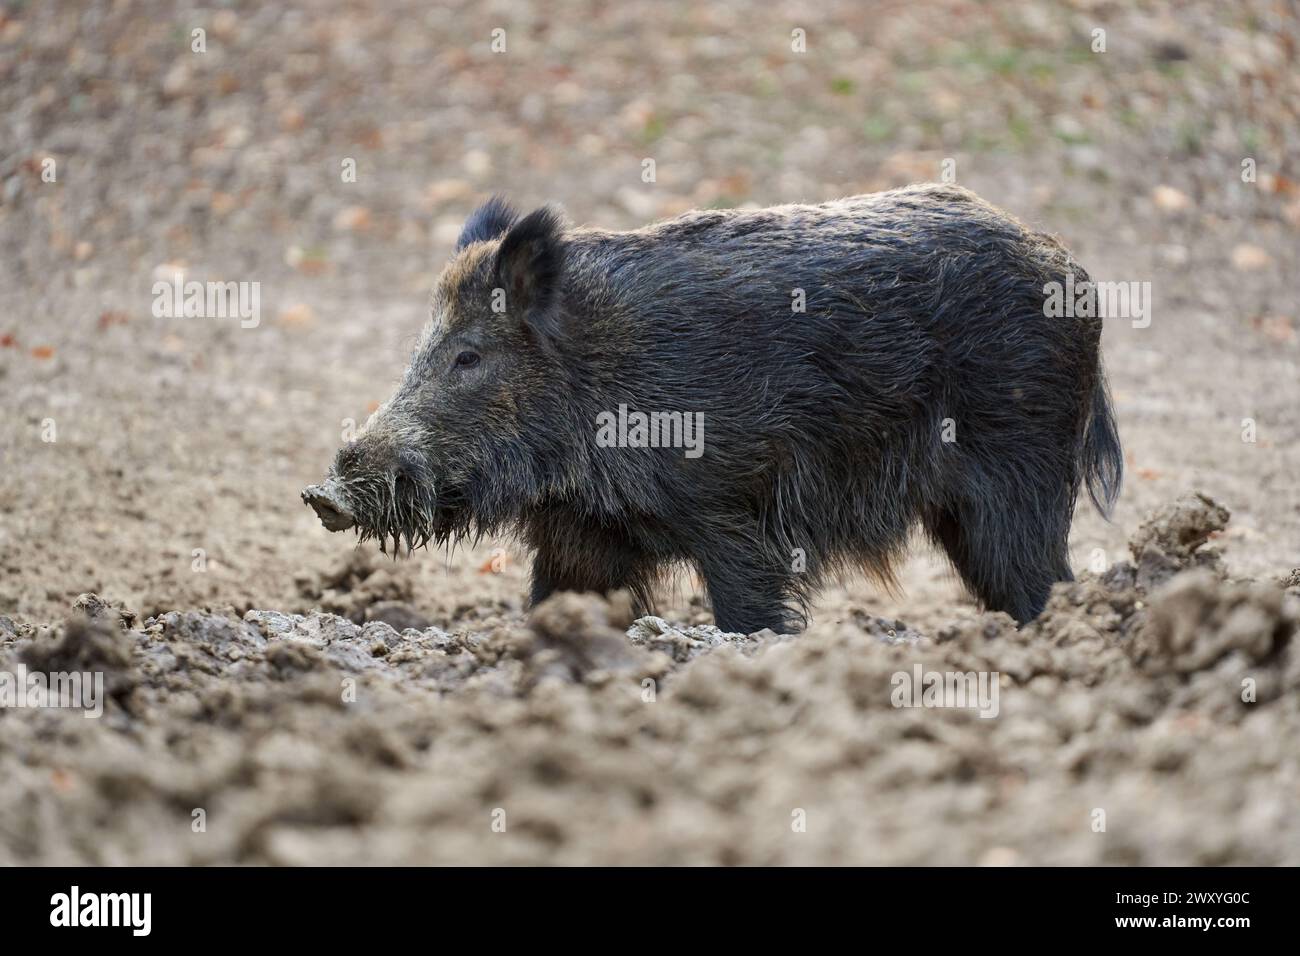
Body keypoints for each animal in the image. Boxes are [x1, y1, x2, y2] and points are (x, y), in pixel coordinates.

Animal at [303, 184, 1122, 633]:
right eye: (422, 343)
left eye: (469, 355)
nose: (322, 493)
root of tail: (1071, 270)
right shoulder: (582, 533)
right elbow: (552, 602)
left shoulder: (734, 511)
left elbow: (747, 611)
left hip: (1021, 471)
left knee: (1041, 576)